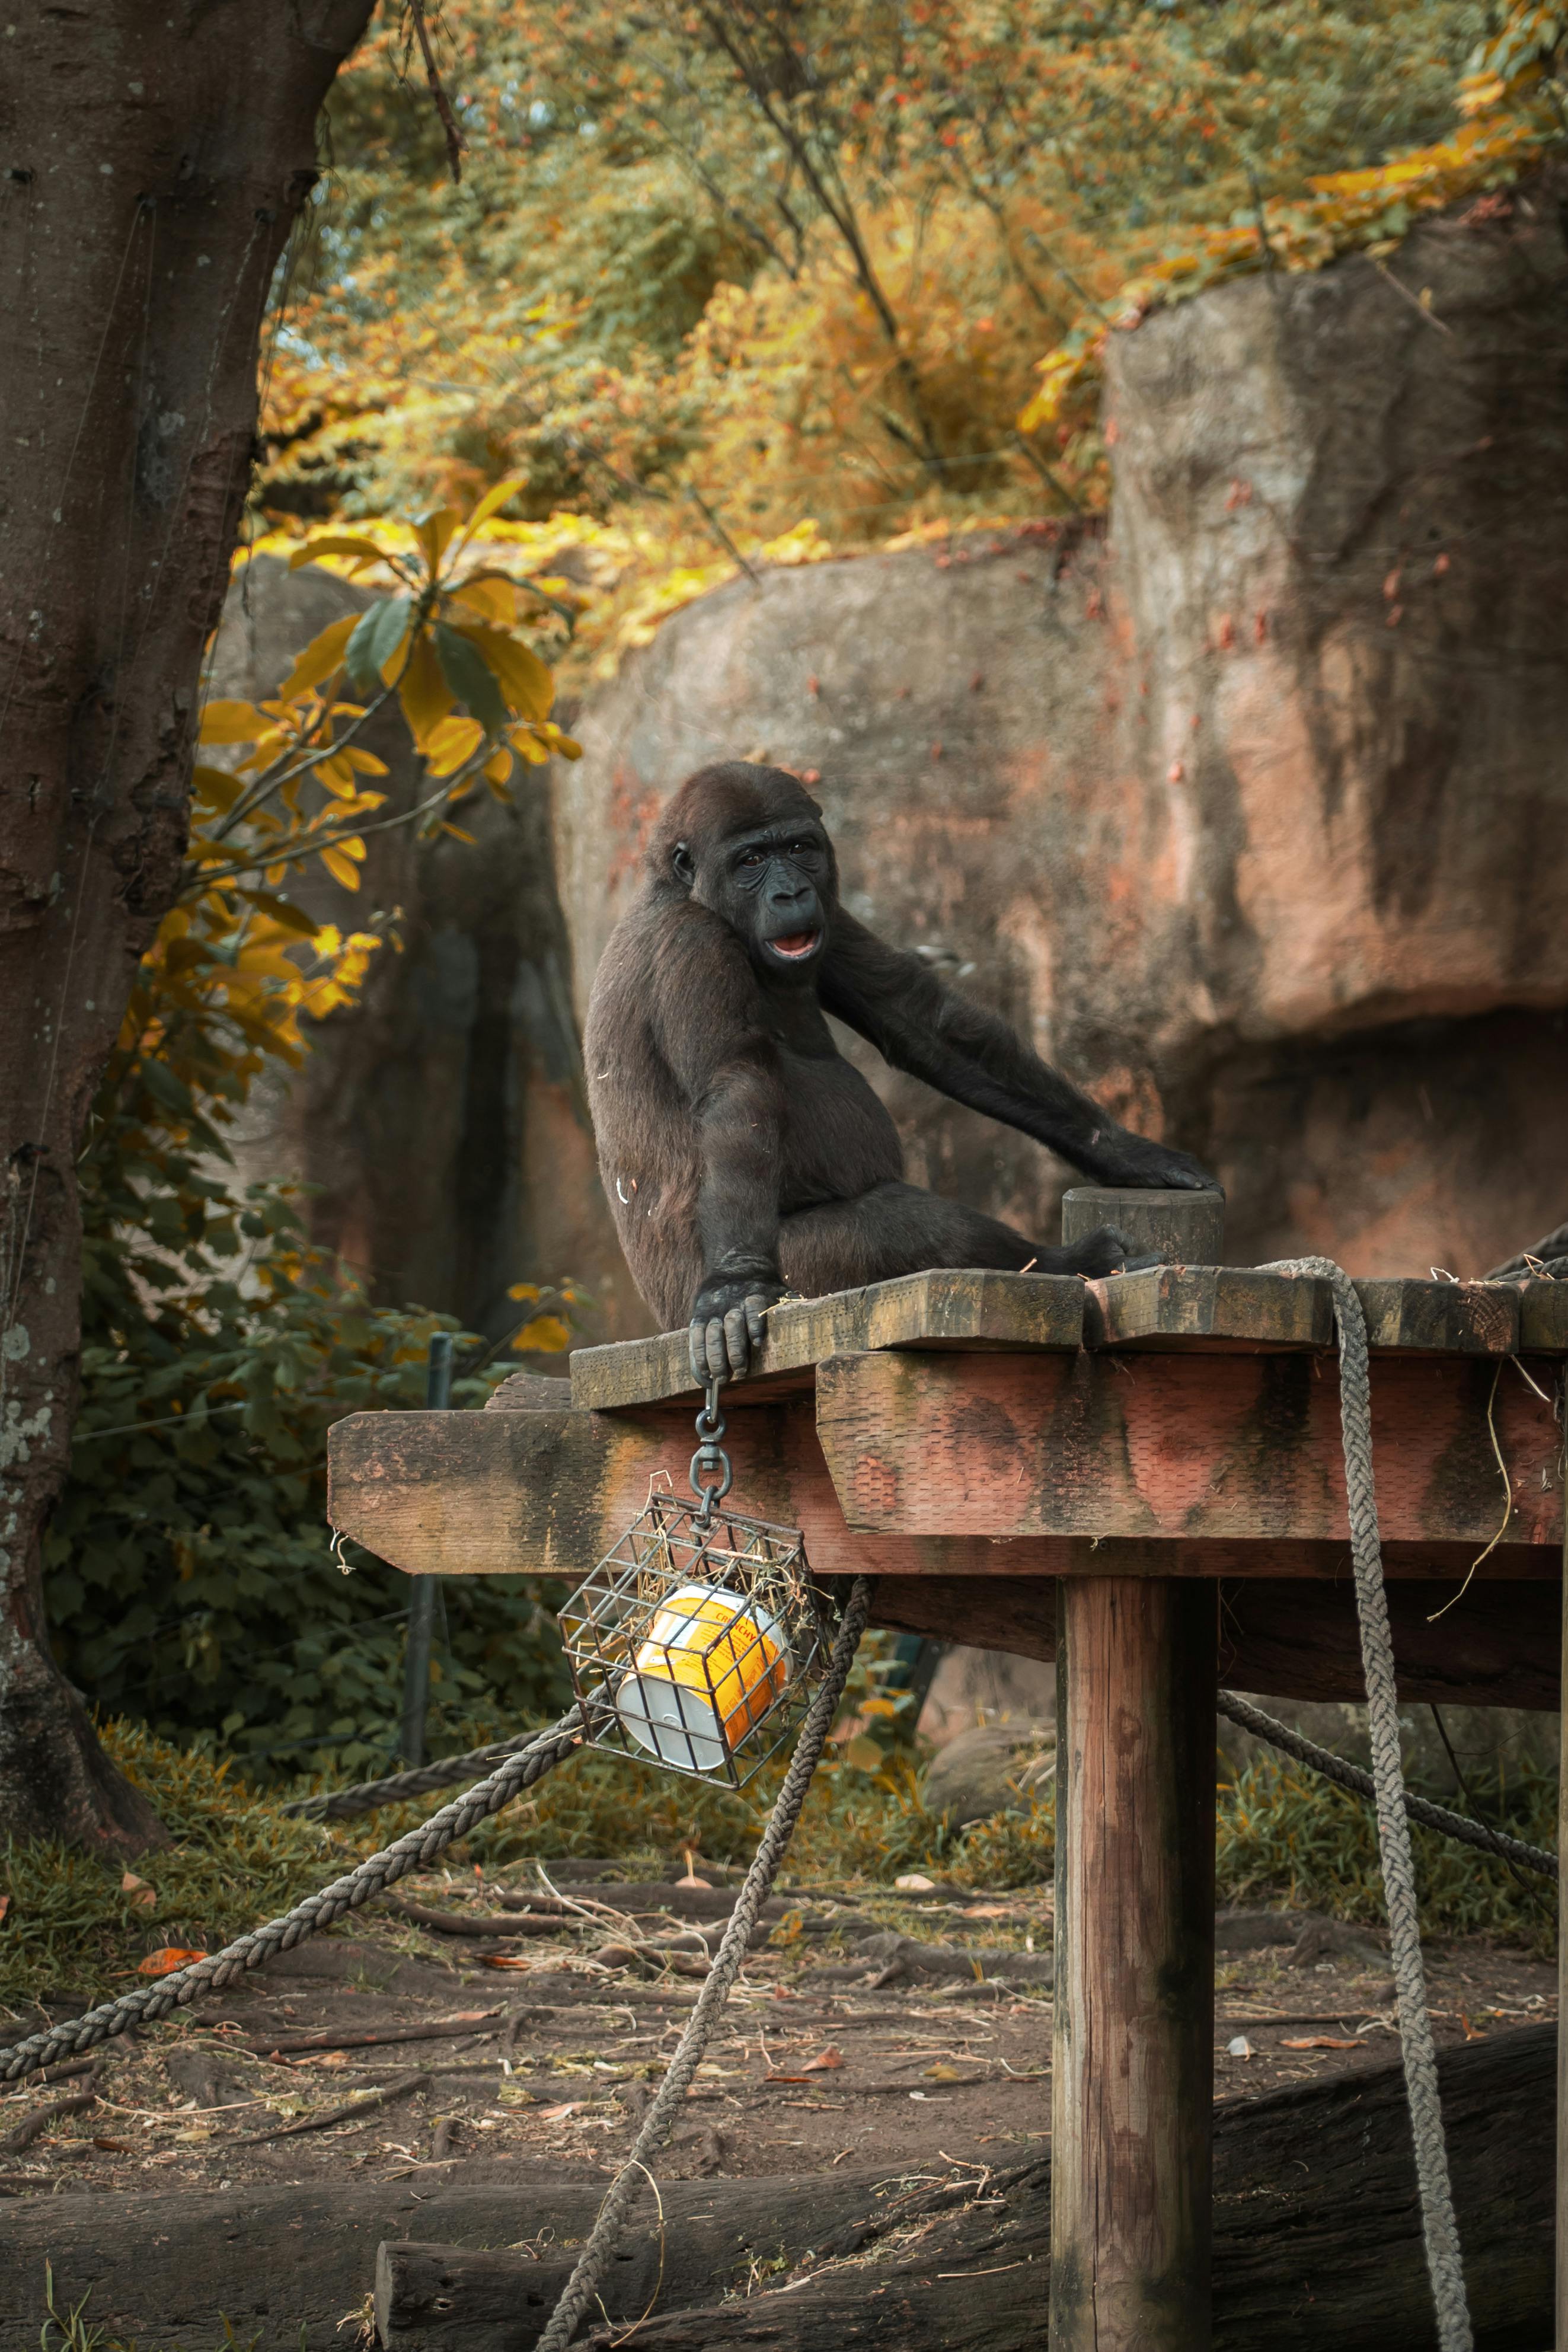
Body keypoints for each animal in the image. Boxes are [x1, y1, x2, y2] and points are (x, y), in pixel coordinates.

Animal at [585, 762, 1216, 1382]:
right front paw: (733, 1286)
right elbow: (735, 1089)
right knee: (902, 1225)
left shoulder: (832, 913)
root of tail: (659, 1320)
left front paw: (1123, 1150)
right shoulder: (693, 943)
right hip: (777, 1287)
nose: (791, 892)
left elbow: (918, 1019)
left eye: (799, 848)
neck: (675, 890)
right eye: (750, 861)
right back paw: (1076, 1261)